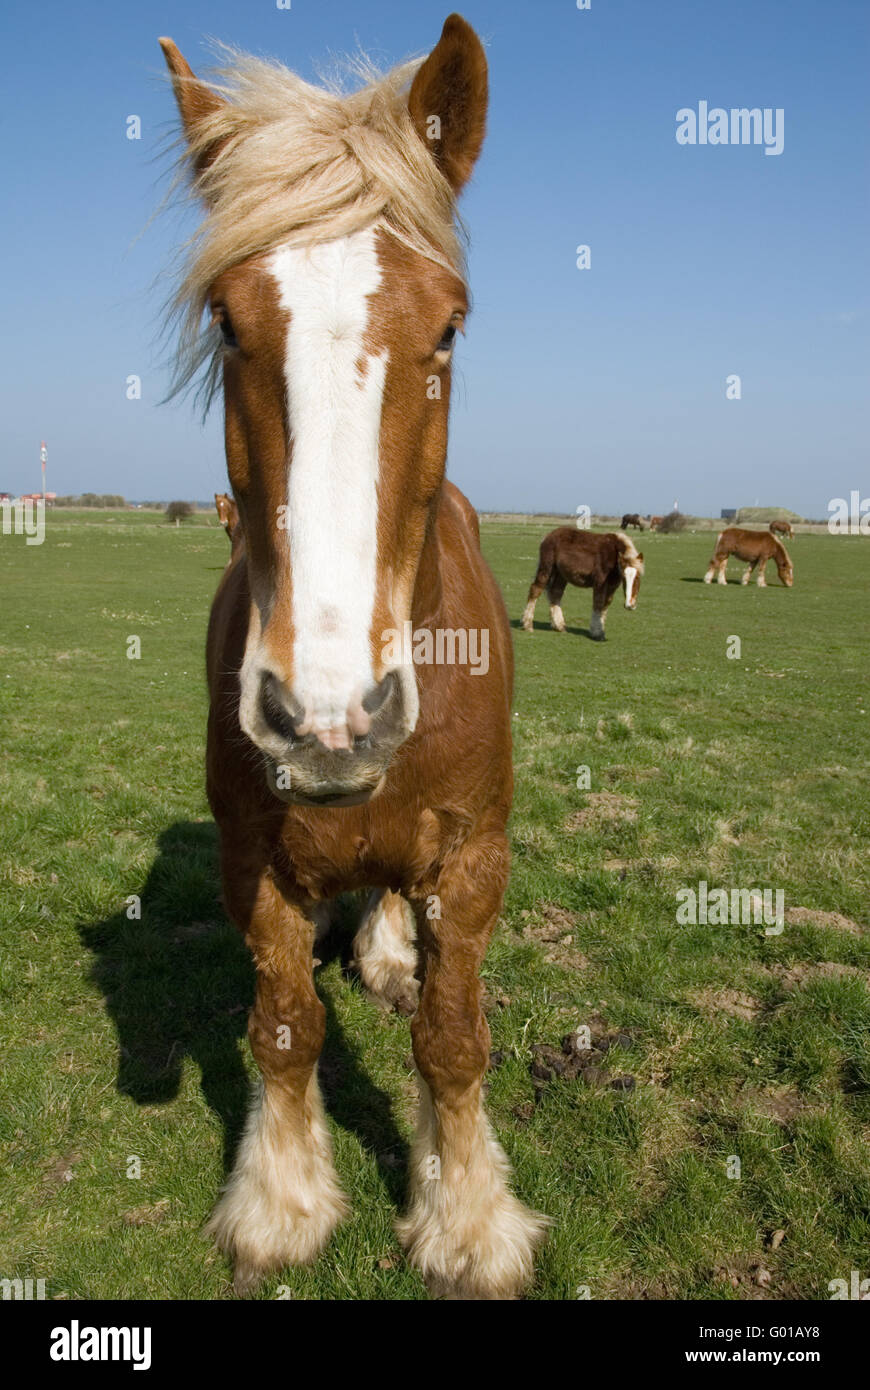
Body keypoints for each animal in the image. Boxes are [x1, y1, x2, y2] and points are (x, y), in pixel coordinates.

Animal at [160, 14, 546, 1300]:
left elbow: (453, 1036)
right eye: (230, 322)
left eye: (450, 324)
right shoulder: (252, 863)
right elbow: (284, 1025)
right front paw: (279, 1197)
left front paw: (467, 1216)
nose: (328, 713)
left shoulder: (473, 859)